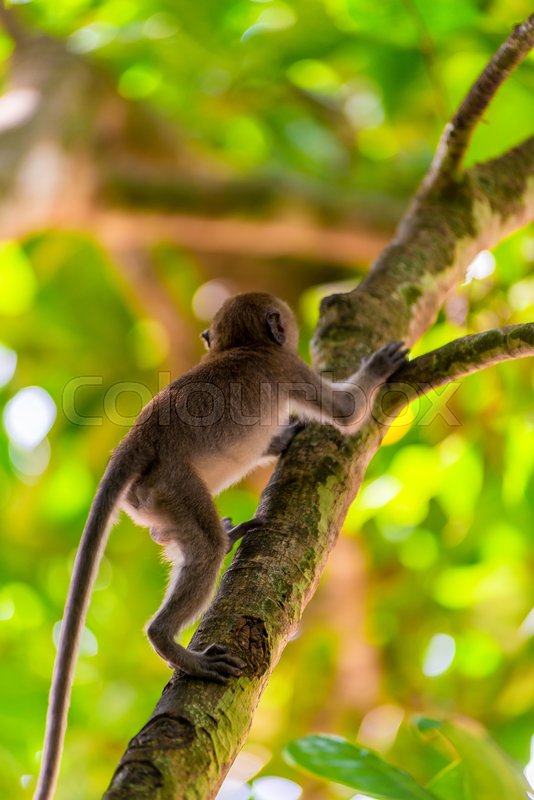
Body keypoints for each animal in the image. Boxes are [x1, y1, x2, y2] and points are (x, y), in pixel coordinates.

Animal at [34, 292, 408, 800]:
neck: (242, 345)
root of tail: (135, 440)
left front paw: (282, 438)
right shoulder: (285, 364)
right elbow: (346, 411)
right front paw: (379, 366)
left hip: (152, 500)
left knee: (177, 538)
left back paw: (205, 538)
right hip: (175, 484)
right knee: (205, 549)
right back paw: (172, 640)